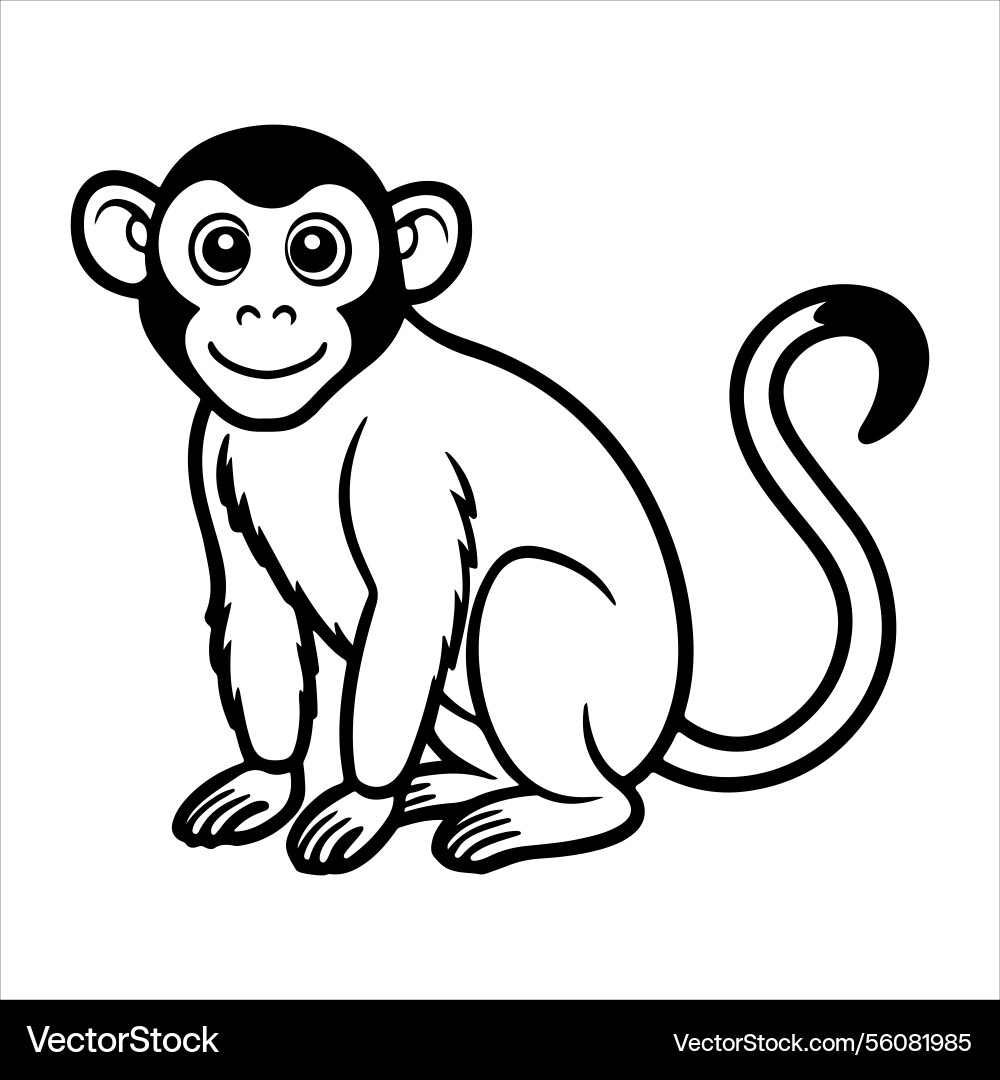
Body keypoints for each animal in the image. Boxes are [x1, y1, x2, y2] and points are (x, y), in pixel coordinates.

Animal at [71, 126, 928, 875]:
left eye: (315, 251)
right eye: (222, 250)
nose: (265, 312)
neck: (315, 412)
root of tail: (660, 720)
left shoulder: (404, 455)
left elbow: (413, 607)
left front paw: (362, 800)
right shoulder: (213, 442)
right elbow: (256, 604)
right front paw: (270, 778)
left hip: (601, 701)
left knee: (526, 591)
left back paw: (558, 808)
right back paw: (462, 784)